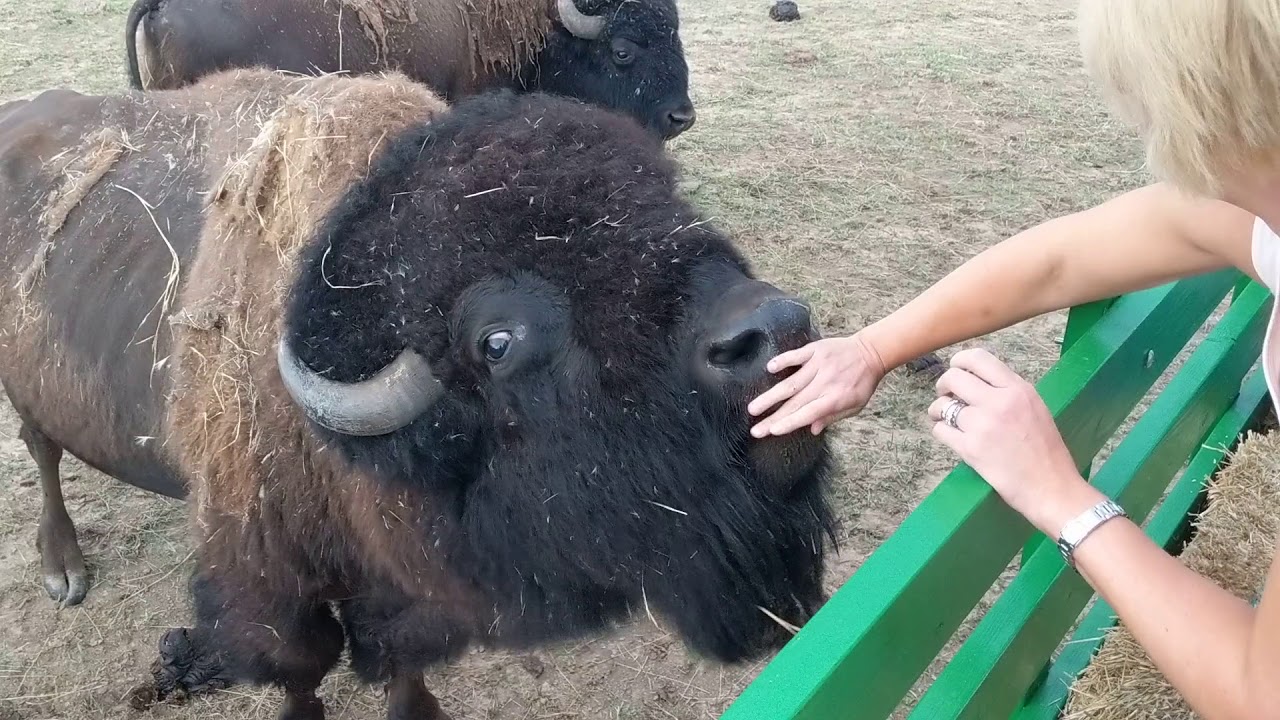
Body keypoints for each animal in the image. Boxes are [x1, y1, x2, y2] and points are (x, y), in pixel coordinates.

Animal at [0, 69, 833, 719]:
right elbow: (301, 669)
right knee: (42, 451)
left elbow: (401, 658)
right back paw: (64, 569)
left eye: (677, 213)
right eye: (497, 340)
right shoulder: (269, 587)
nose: (774, 332)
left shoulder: (411, 593)